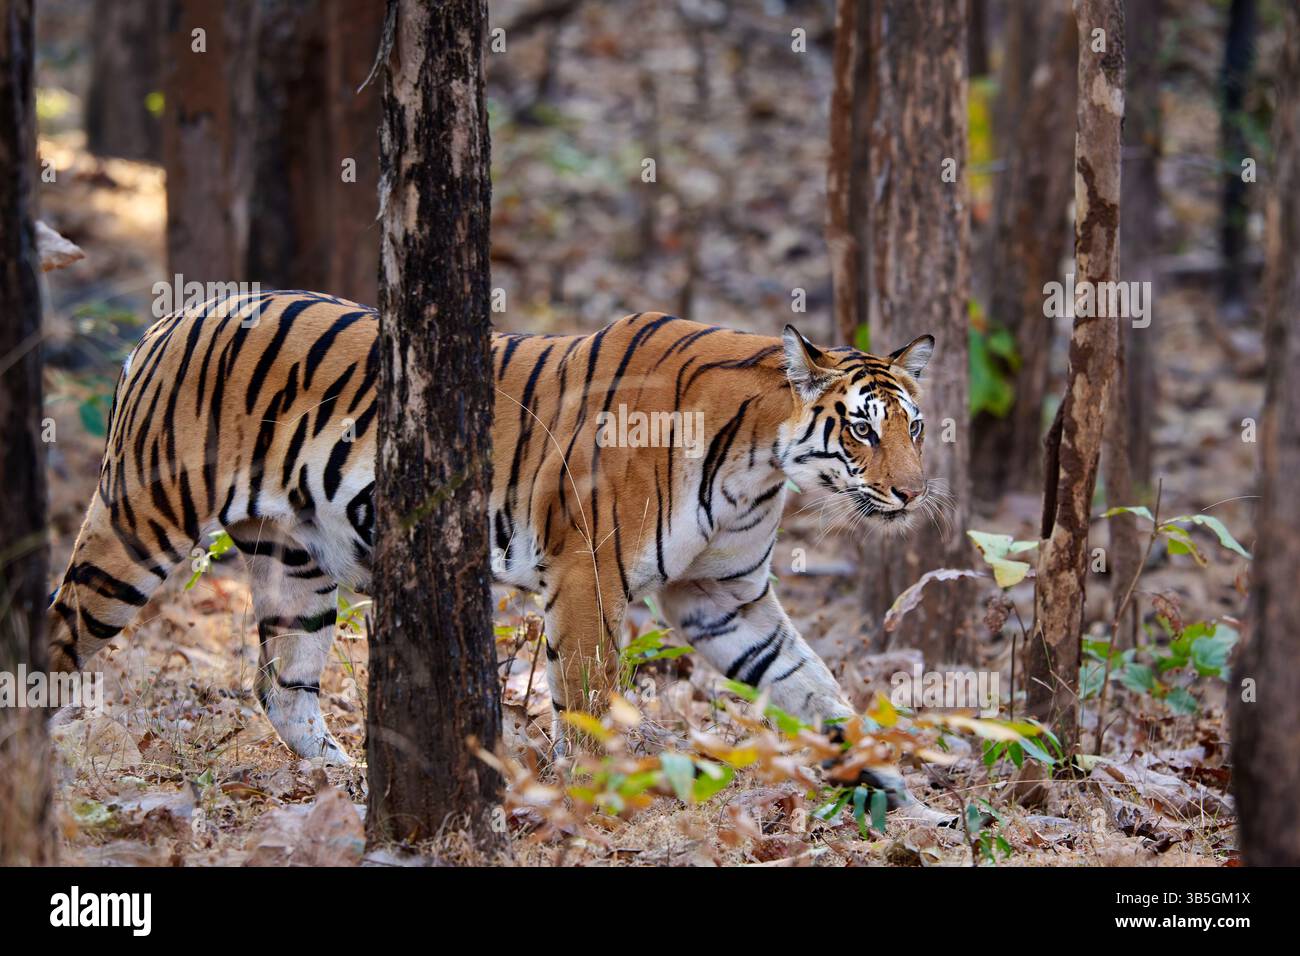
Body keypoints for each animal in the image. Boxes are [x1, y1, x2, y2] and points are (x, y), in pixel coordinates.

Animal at [46, 289, 937, 804]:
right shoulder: (589, 578)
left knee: (280, 684)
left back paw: (343, 778)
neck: (761, 464)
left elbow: (815, 689)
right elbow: (588, 702)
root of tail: (173, 315)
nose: (912, 494)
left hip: (293, 561)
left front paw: (899, 792)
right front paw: (597, 806)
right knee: (57, 629)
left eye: (915, 427)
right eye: (862, 430)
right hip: (139, 521)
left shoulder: (726, 599)